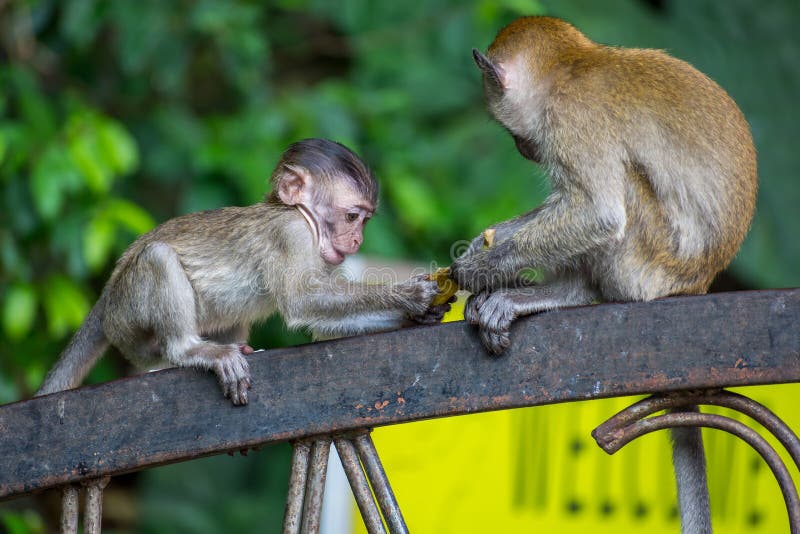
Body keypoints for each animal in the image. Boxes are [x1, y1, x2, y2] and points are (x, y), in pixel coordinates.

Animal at [36, 138, 448, 406]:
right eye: (351, 216)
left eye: (365, 221)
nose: (358, 239)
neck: (300, 216)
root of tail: (109, 294)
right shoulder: (290, 236)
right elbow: (303, 301)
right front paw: (410, 295)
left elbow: (322, 322)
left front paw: (416, 316)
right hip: (129, 317)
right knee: (157, 258)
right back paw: (192, 349)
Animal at [450, 17, 757, 534]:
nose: (519, 146)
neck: (573, 66)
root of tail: (694, 284)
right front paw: (484, 247)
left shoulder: (571, 119)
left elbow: (598, 213)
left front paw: (481, 268)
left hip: (648, 266)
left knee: (620, 198)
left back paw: (568, 293)